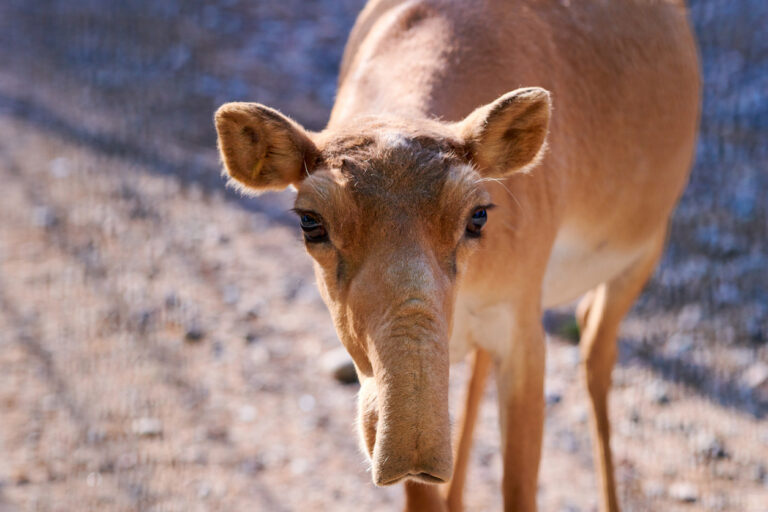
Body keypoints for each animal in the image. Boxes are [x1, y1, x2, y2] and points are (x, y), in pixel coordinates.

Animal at [214, 0, 700, 510]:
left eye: (478, 215)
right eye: (311, 221)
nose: (411, 444)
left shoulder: (522, 326)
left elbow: (519, 487)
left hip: (644, 250)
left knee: (595, 348)